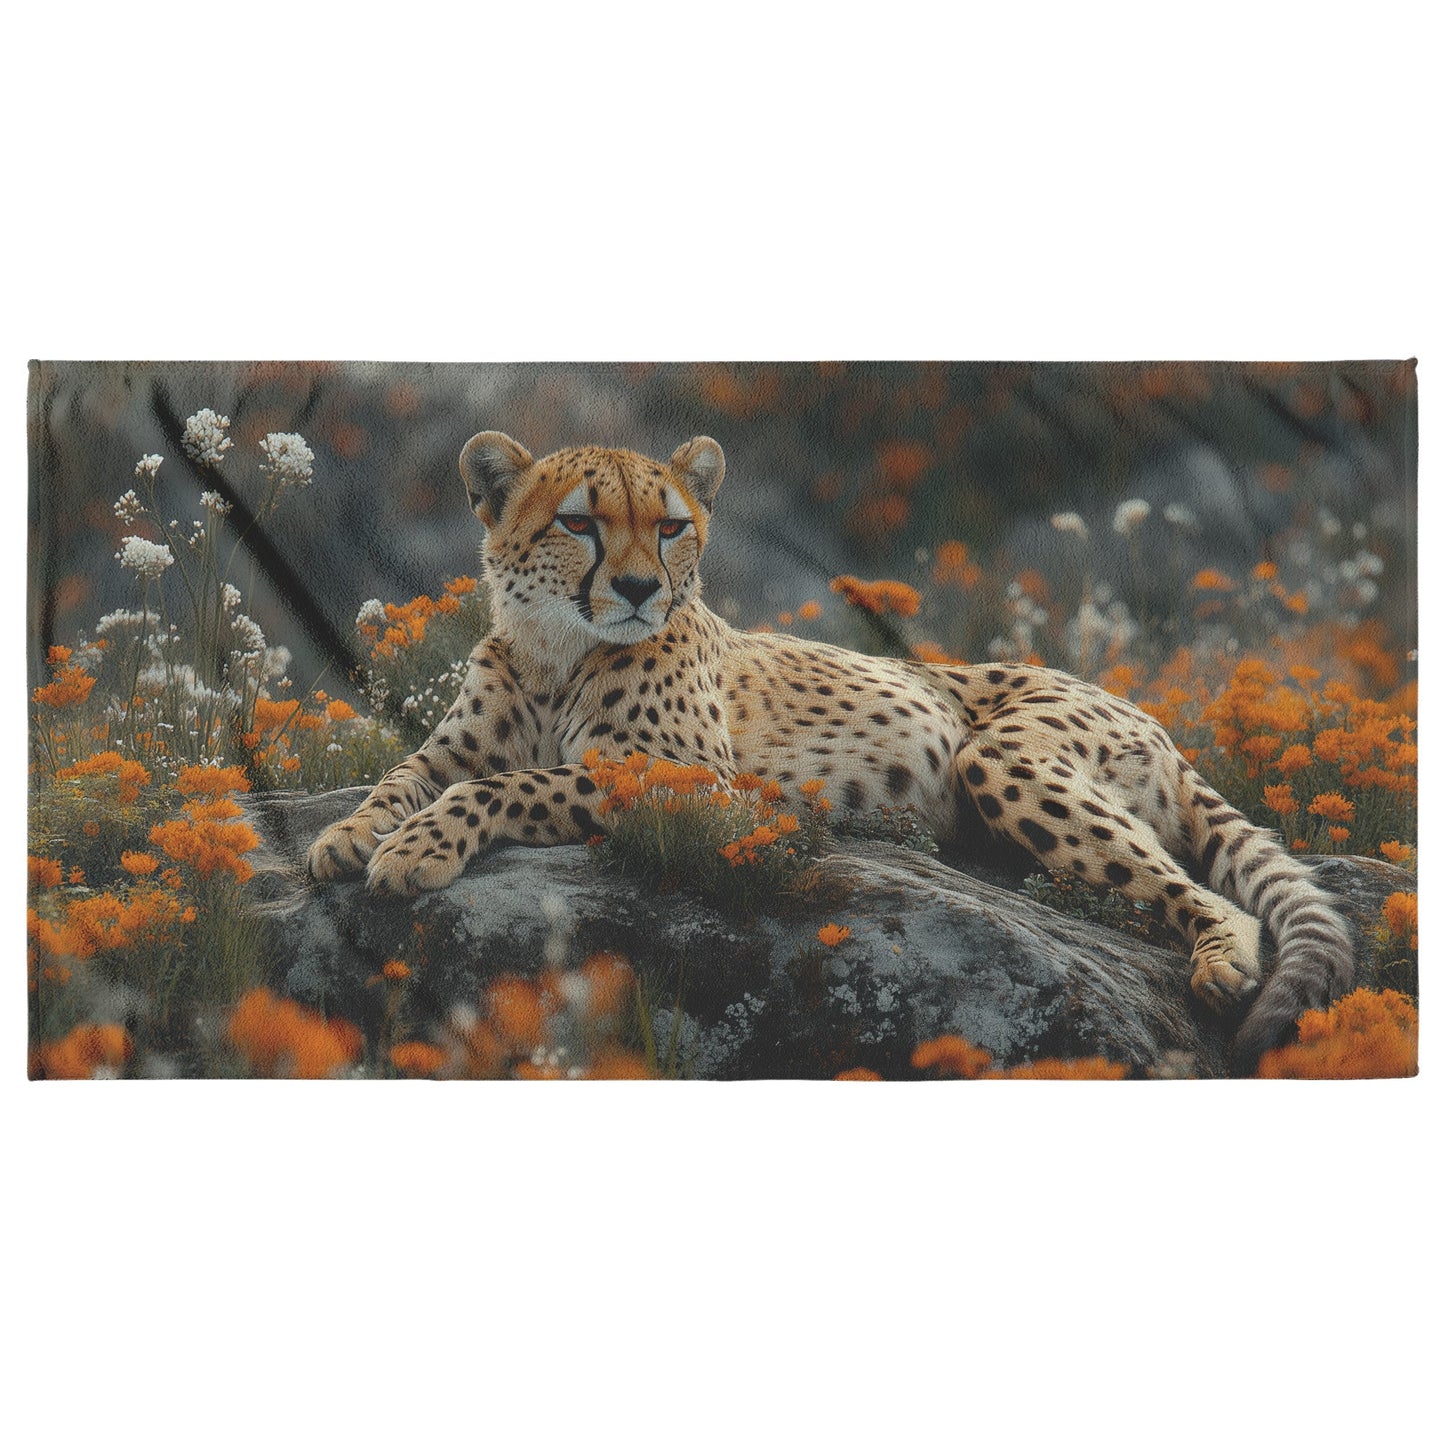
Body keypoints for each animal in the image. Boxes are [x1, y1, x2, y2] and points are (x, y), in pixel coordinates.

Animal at [308, 429, 1354, 1070]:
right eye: (578, 521)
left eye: (671, 525)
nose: (642, 589)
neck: (554, 649)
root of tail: (1150, 715)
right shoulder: (459, 747)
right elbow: (405, 772)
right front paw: (350, 835)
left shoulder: (700, 784)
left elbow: (512, 785)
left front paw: (415, 848)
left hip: (1005, 759)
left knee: (1209, 892)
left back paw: (1218, 957)